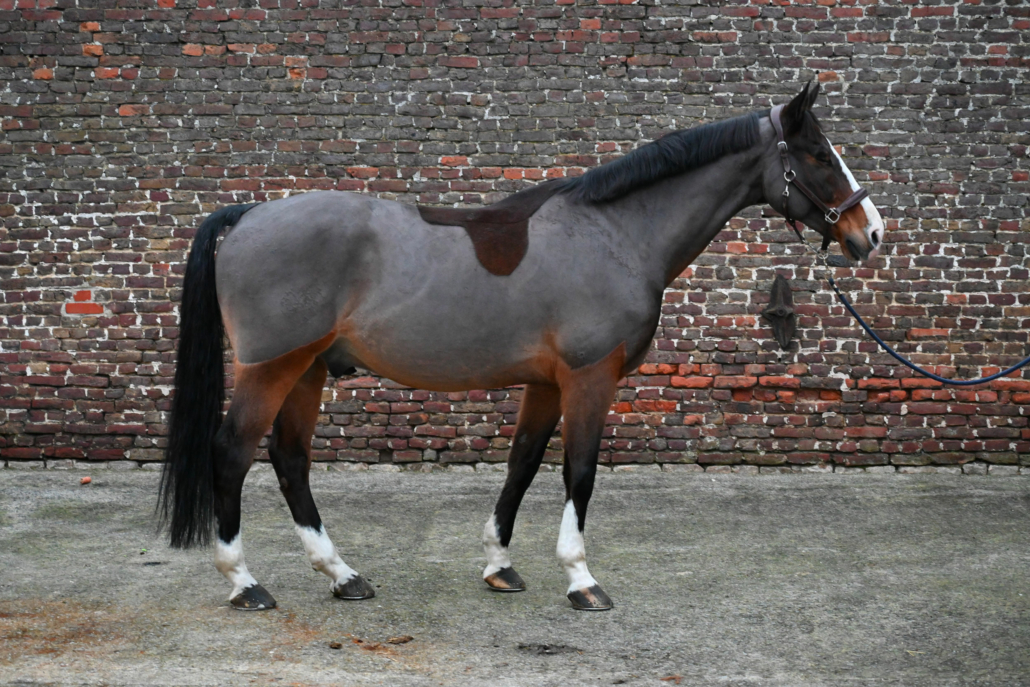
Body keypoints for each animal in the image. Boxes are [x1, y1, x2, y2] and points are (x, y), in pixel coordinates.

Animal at [159, 83, 884, 612]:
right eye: (819, 155)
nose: (870, 232)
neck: (613, 233)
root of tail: (247, 215)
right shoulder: (591, 377)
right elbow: (579, 471)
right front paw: (581, 578)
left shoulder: (544, 383)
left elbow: (523, 464)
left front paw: (499, 565)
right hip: (271, 368)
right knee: (232, 452)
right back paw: (246, 583)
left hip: (306, 370)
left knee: (290, 460)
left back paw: (343, 574)